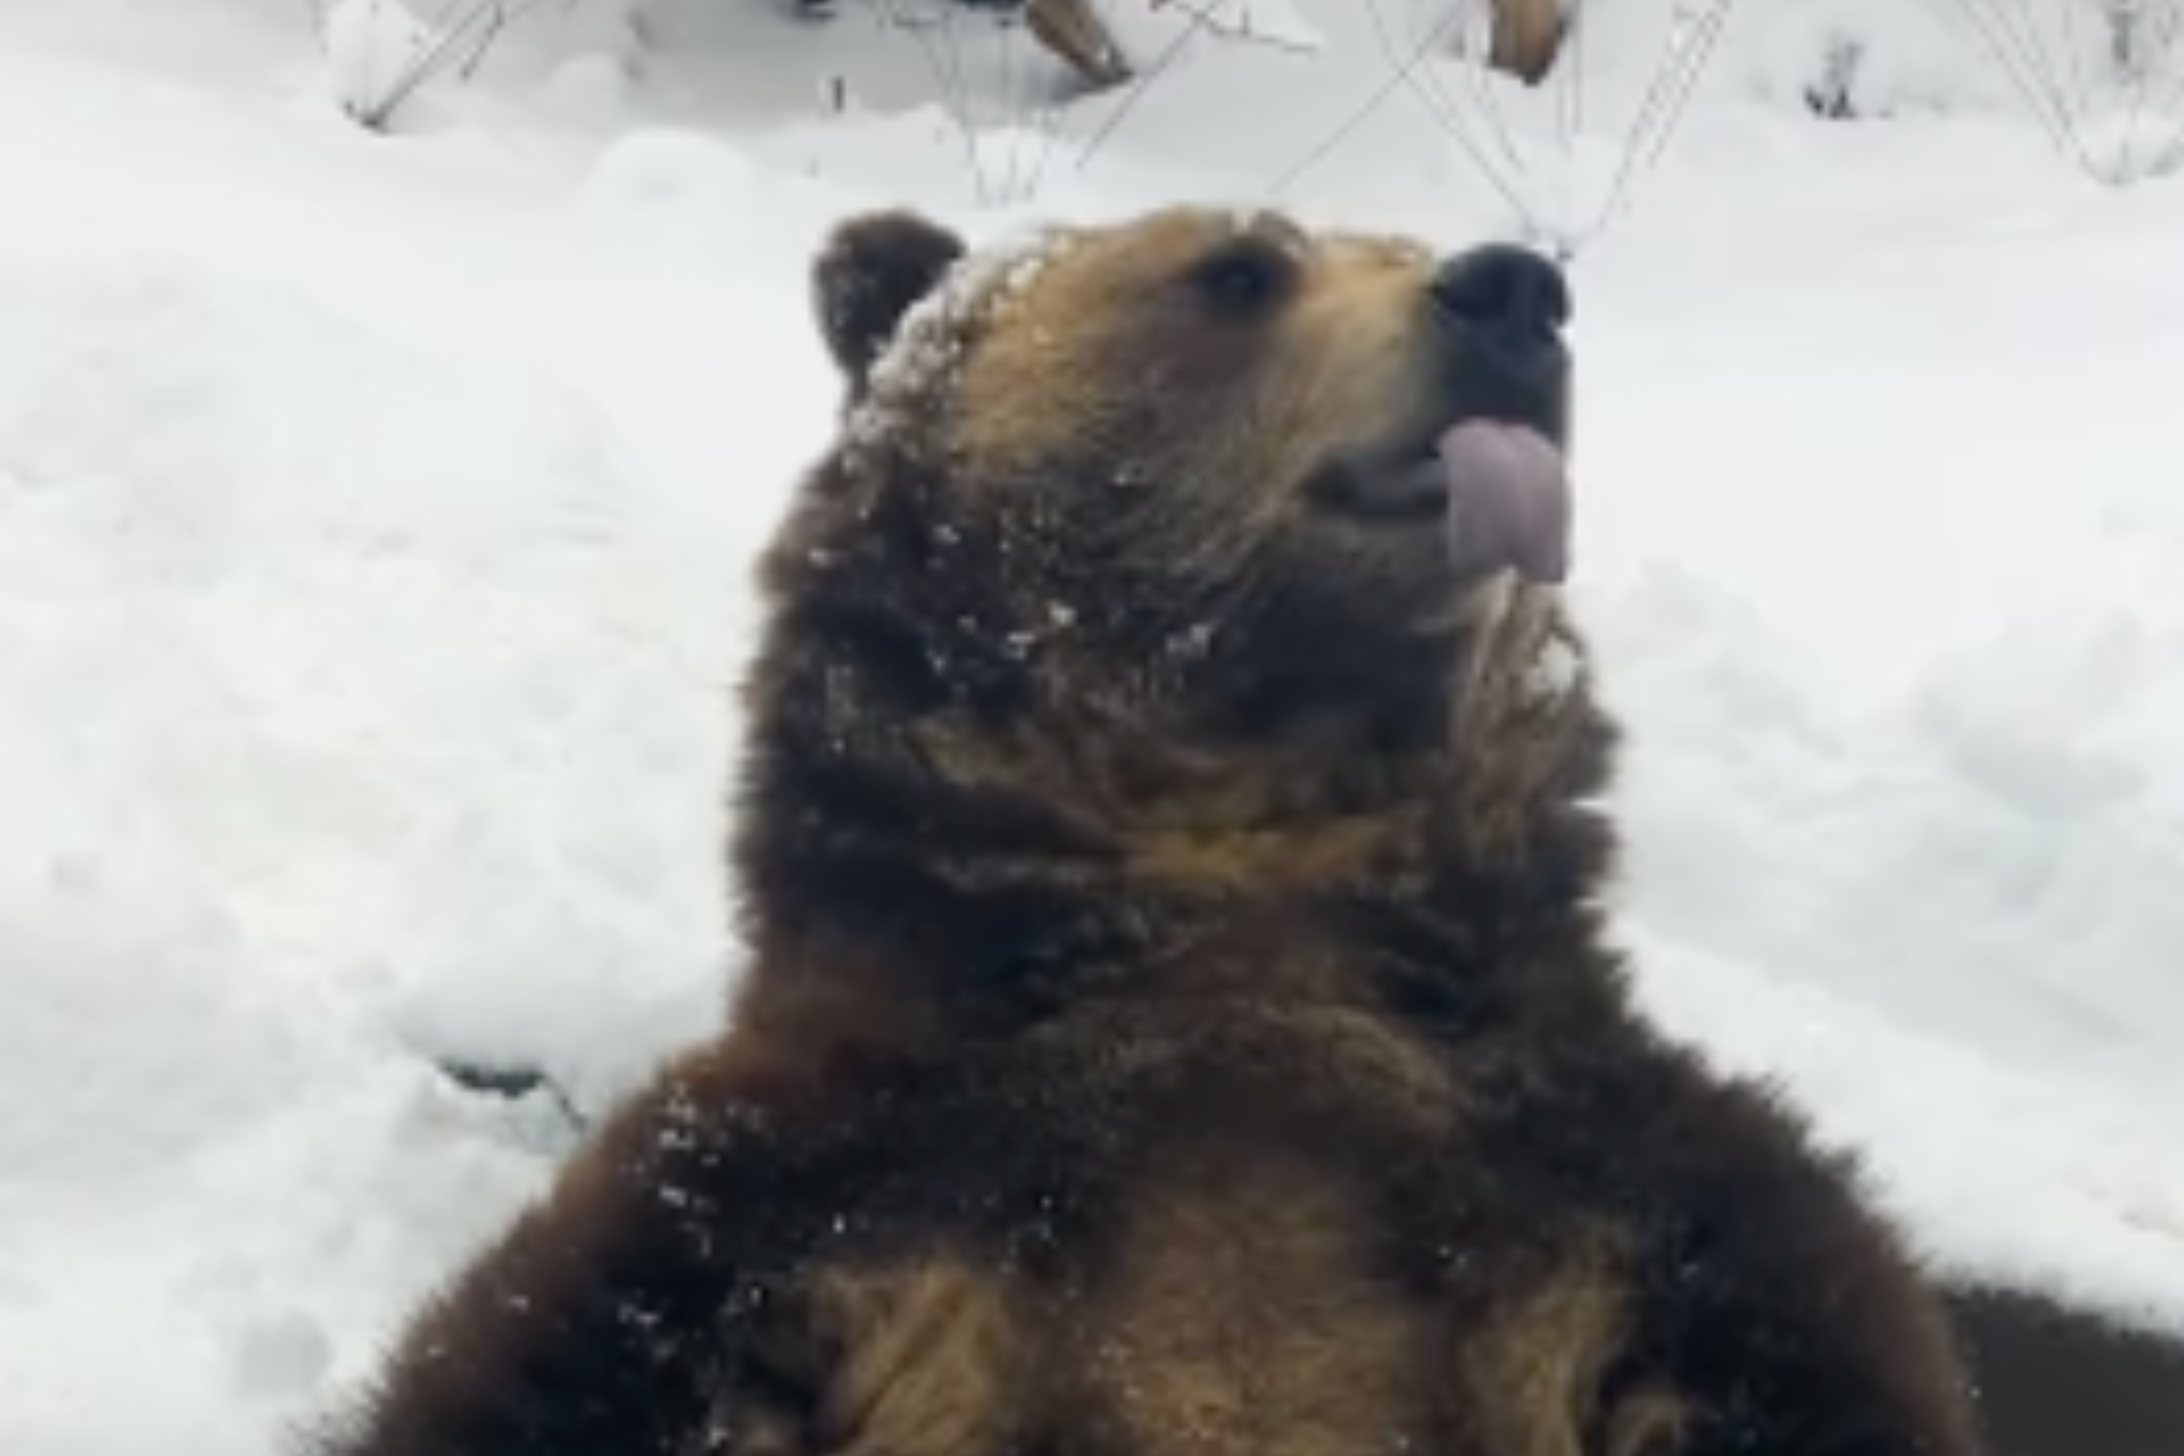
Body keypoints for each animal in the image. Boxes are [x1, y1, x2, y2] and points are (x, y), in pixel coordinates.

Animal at [299, 204, 1986, 1456]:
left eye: (1408, 238)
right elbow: (545, 1369)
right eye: (1237, 267)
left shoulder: (1627, 1196)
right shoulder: (813, 1185)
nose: (1514, 290)